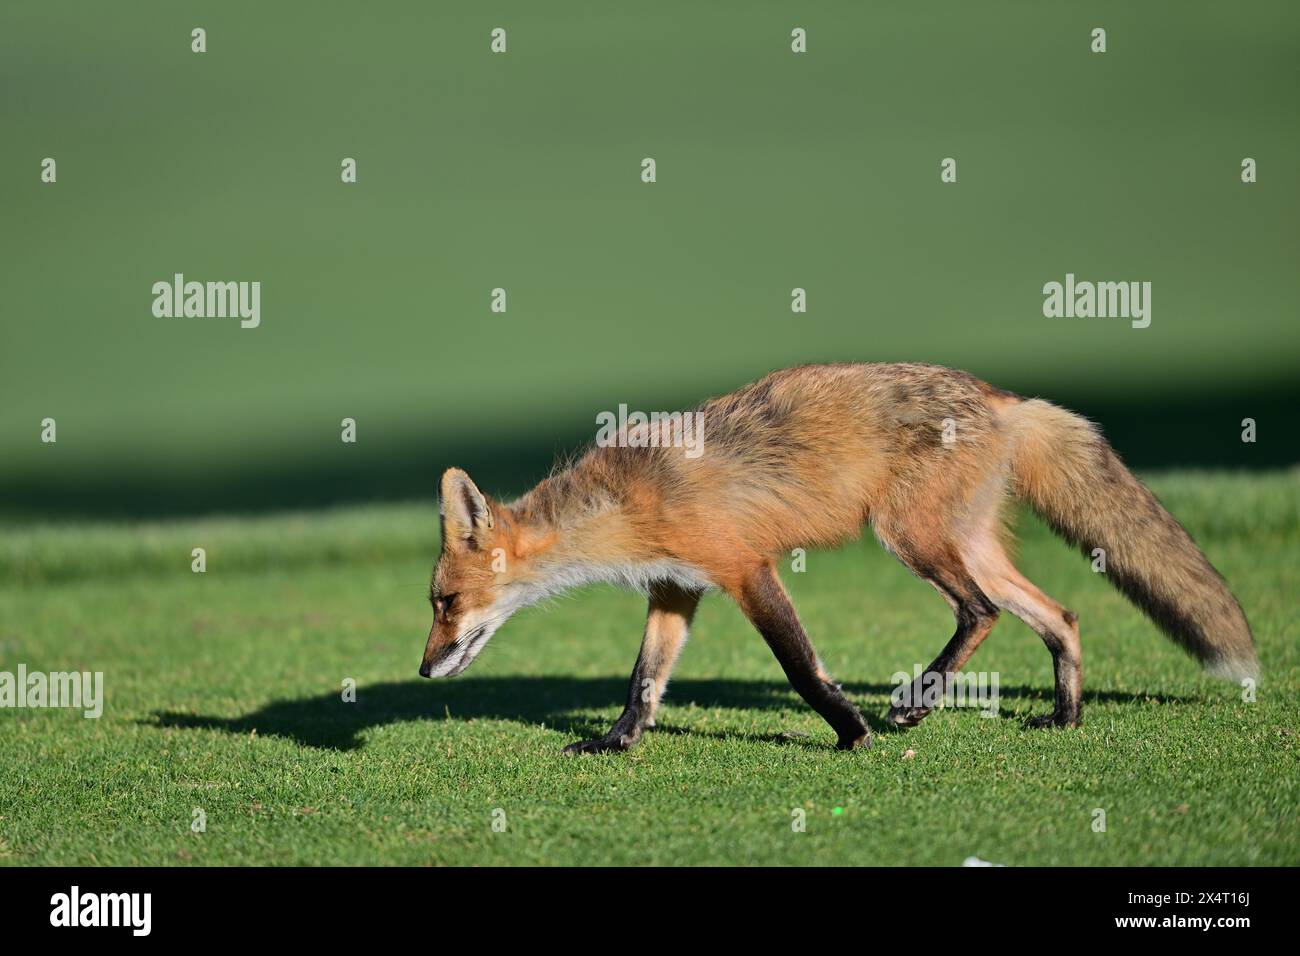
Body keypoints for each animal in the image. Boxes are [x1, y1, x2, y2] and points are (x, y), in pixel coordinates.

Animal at [419, 362, 1257, 753]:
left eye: (444, 603)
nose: (424, 670)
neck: (627, 503)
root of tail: (1002, 397)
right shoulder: (676, 590)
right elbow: (643, 681)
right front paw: (617, 742)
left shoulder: (743, 570)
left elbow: (799, 666)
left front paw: (849, 731)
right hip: (966, 541)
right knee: (1062, 614)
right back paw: (1066, 715)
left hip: (908, 535)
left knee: (980, 611)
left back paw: (916, 700)